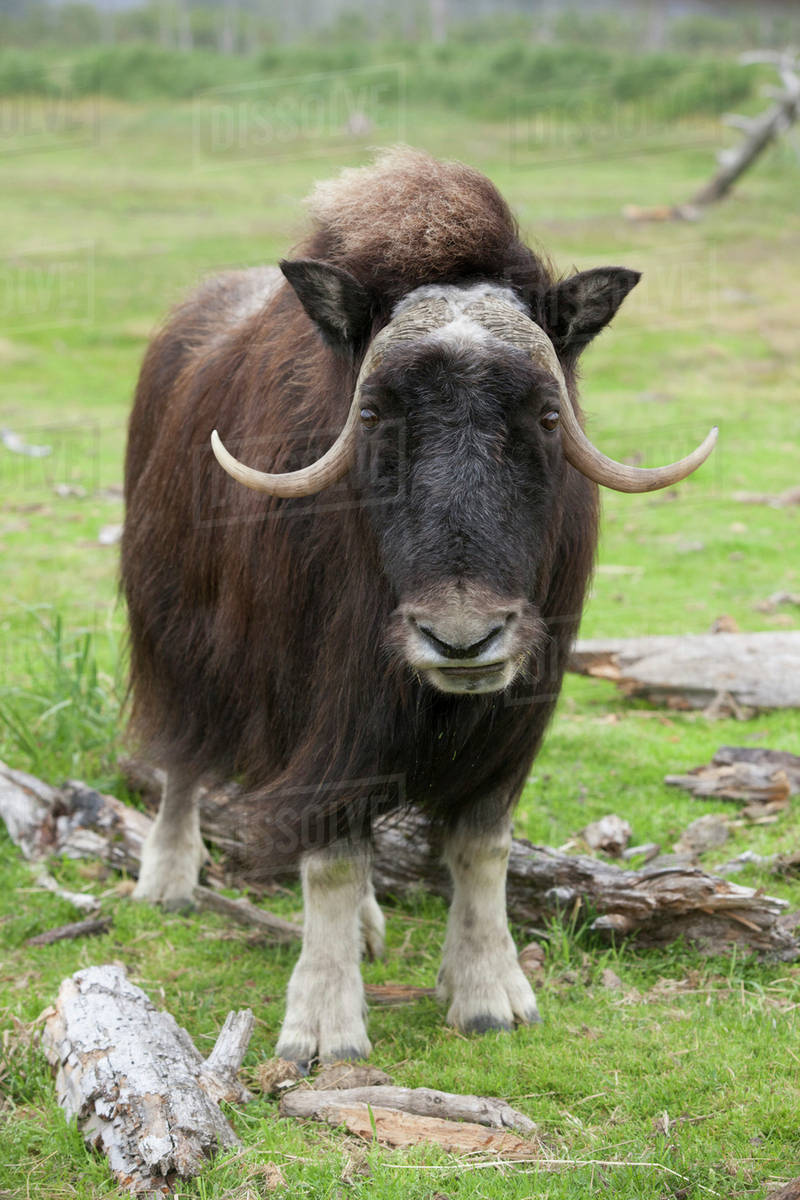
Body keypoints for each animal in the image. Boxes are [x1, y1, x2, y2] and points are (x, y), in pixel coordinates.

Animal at [122, 148, 715, 1068]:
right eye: (372, 414)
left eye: (548, 414)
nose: (462, 639)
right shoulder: (320, 710)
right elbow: (329, 854)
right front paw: (324, 1031)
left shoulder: (513, 724)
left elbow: (481, 848)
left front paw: (489, 998)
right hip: (176, 634)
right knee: (183, 755)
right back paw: (170, 882)